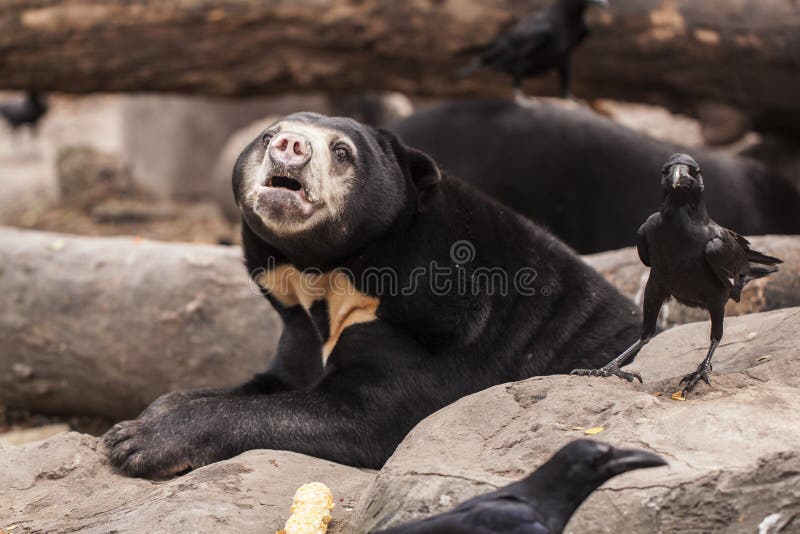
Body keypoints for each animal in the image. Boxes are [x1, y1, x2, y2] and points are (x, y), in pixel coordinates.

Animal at [103, 112, 640, 479]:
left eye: (342, 152)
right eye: (267, 136)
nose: (289, 145)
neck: (322, 277)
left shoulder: (433, 328)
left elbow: (361, 415)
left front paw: (138, 441)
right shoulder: (299, 330)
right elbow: (270, 381)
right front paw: (154, 411)